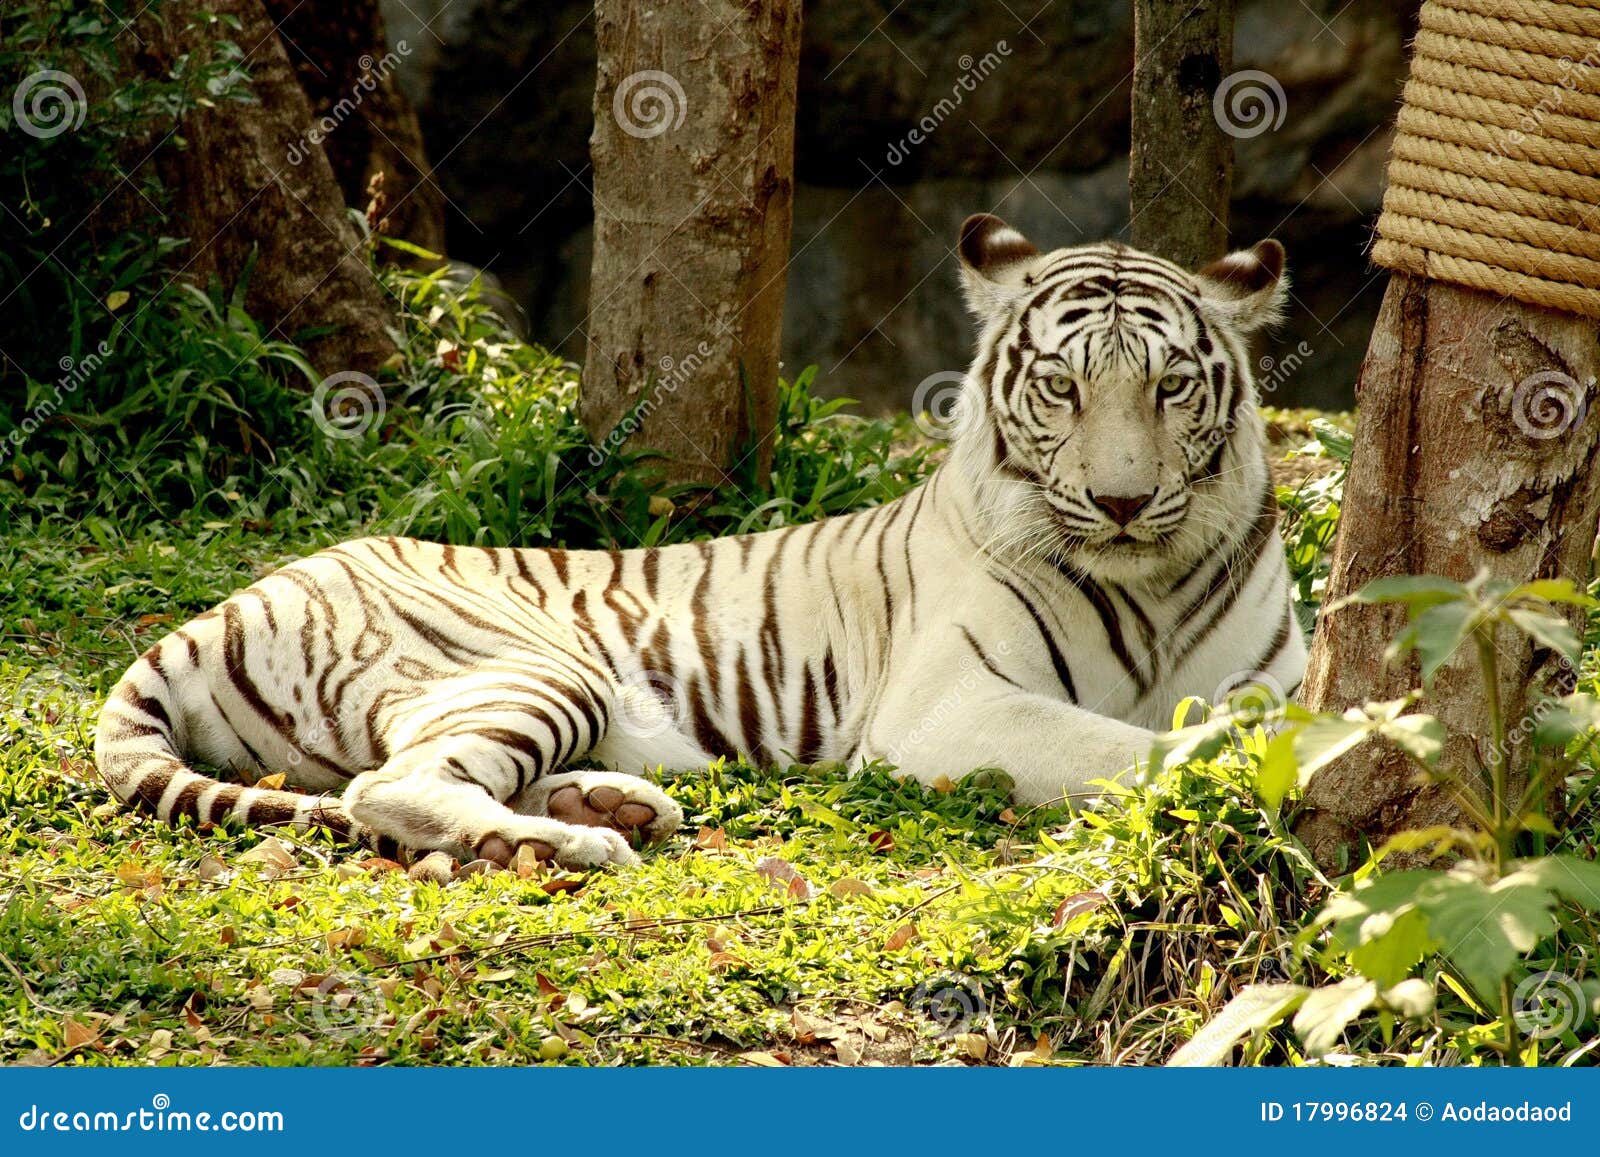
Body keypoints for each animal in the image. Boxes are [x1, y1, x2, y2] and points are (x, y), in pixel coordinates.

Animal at [95, 213, 1307, 872]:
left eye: (1171, 386)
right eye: (1061, 386)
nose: (1121, 499)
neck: (1146, 580)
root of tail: (224, 605)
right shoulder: (949, 707)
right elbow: (1143, 746)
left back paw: (605, 804)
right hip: (527, 667)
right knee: (391, 789)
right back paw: (577, 840)